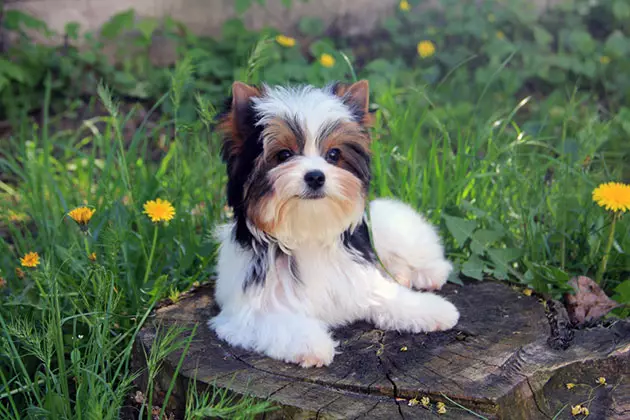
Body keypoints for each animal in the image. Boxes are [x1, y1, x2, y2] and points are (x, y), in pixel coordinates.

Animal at [210, 79, 462, 368]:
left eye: (333, 154)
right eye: (283, 155)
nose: (315, 176)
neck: (308, 229)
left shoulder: (360, 280)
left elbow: (387, 295)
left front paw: (432, 309)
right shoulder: (247, 312)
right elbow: (279, 321)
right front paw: (310, 343)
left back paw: (425, 274)